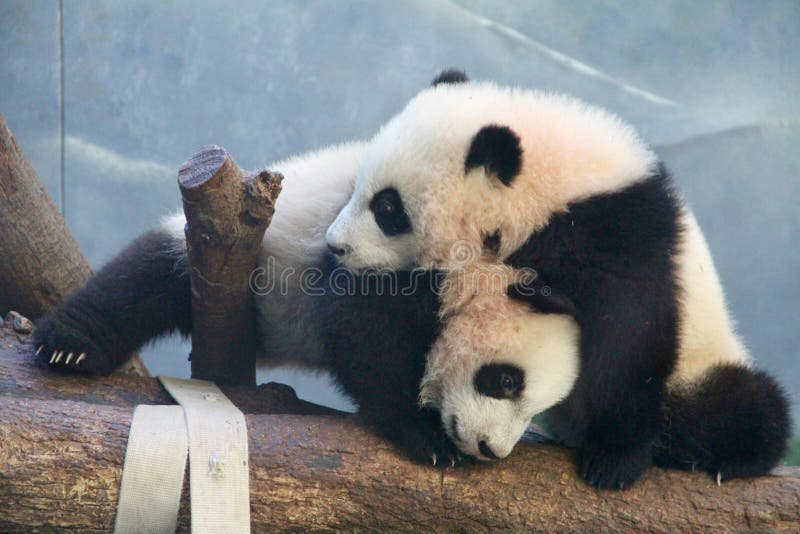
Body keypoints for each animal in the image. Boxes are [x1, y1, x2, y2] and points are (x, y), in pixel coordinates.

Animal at [325, 71, 791, 489]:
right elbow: (377, 322)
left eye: (387, 208)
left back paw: (727, 459)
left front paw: (613, 461)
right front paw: (424, 431)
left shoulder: (618, 235)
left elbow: (630, 336)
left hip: (702, 361)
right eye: (357, 188)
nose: (335, 245)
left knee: (741, 405)